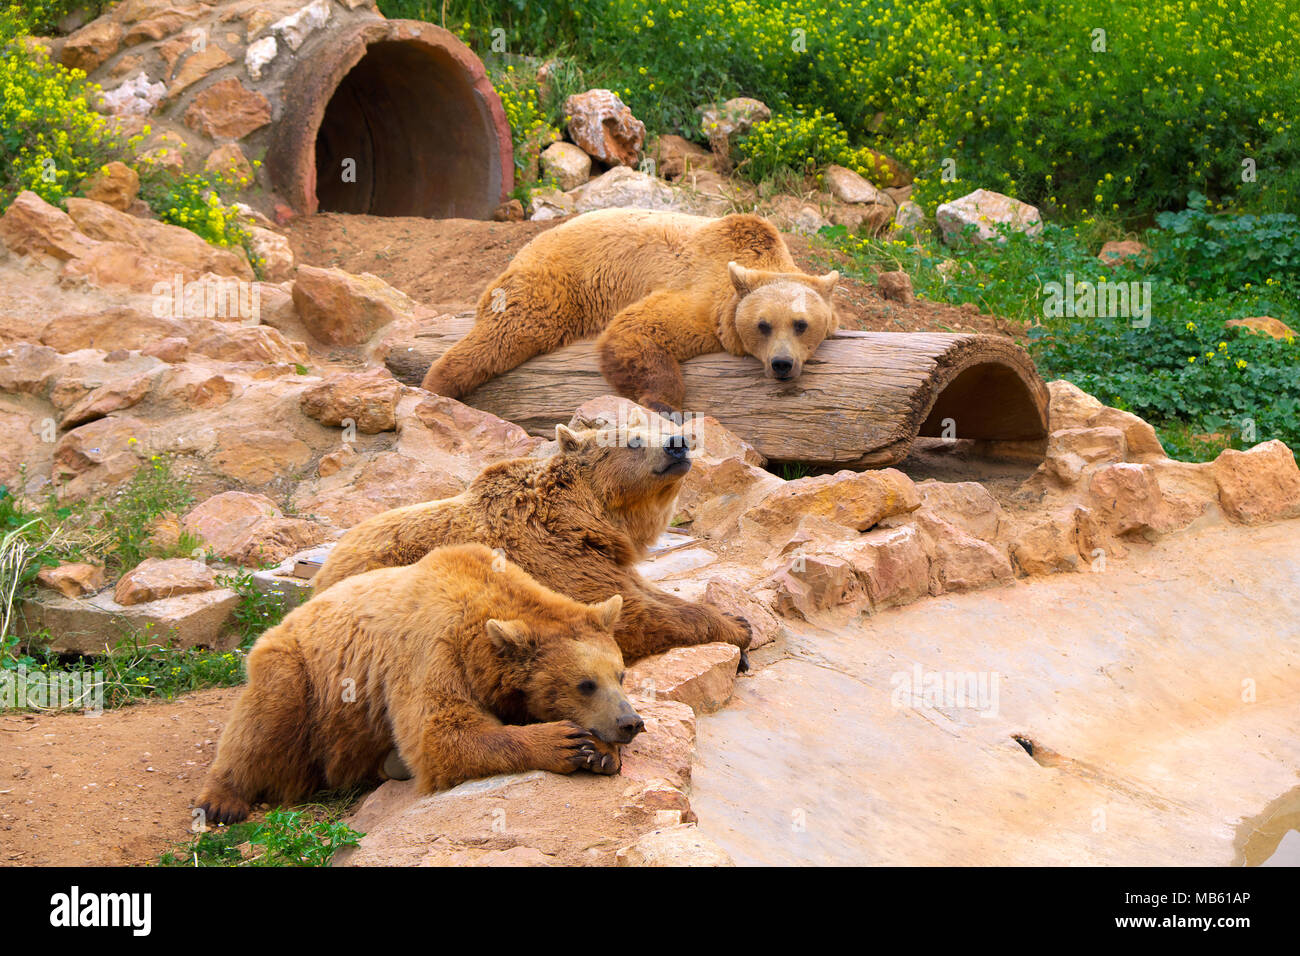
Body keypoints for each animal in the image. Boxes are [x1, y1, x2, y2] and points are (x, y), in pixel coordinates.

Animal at [196, 543, 640, 825]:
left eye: (619, 674)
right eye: (585, 684)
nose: (630, 722)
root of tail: (290, 615)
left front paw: (601, 753)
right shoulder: (432, 648)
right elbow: (439, 733)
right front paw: (564, 742)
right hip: (301, 672)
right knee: (262, 724)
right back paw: (221, 802)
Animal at [311, 407, 752, 665]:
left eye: (663, 428)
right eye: (634, 440)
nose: (679, 445)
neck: (592, 520)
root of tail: (322, 572)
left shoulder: (606, 557)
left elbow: (645, 592)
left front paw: (731, 616)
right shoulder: (554, 558)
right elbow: (630, 613)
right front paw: (737, 629)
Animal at [420, 208, 839, 413]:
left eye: (801, 324)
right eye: (763, 324)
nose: (782, 364)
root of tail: (534, 240)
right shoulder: (705, 296)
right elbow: (637, 329)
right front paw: (665, 405)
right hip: (559, 283)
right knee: (509, 331)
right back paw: (436, 386)